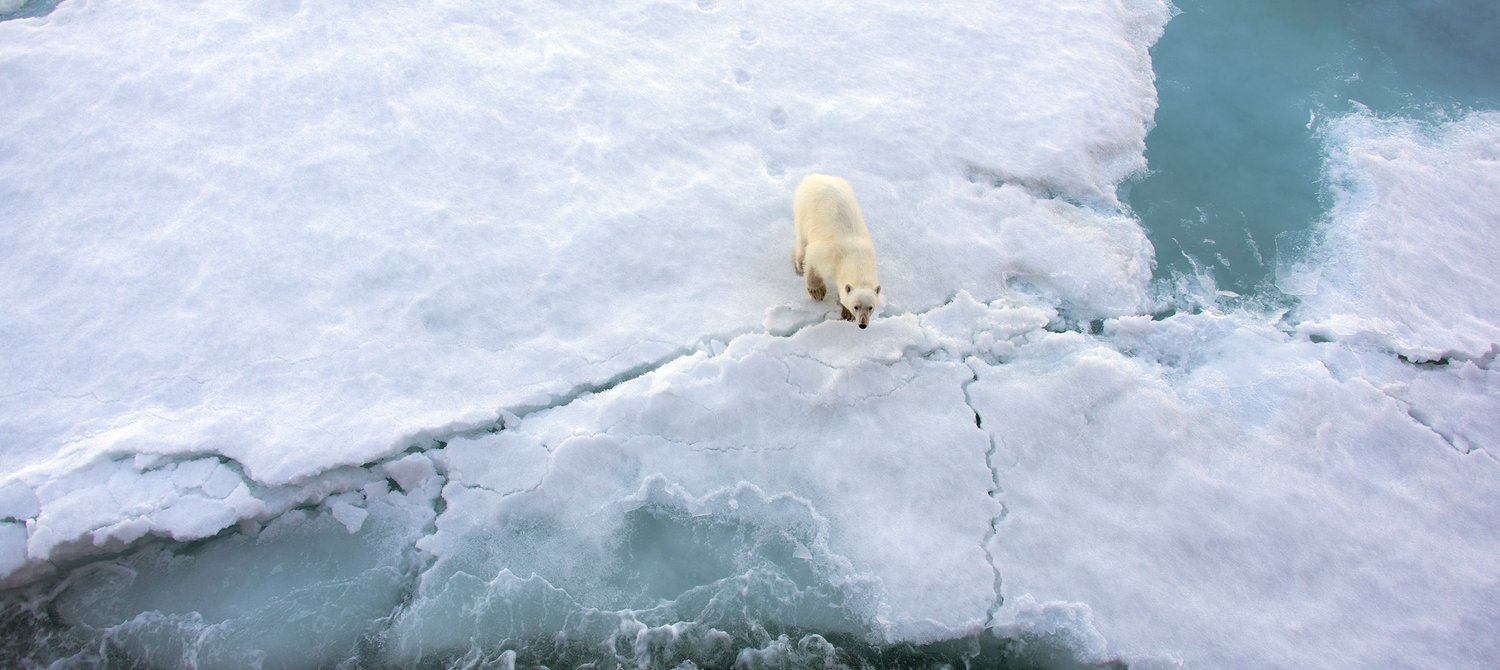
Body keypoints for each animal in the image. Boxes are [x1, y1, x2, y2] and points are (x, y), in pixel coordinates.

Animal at [792, 174, 881, 328]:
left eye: (871, 307)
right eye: (856, 306)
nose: (862, 324)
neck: (855, 257)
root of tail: (815, 176)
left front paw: (847, 313)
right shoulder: (828, 255)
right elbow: (812, 259)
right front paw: (817, 291)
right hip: (804, 208)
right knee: (802, 237)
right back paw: (799, 263)